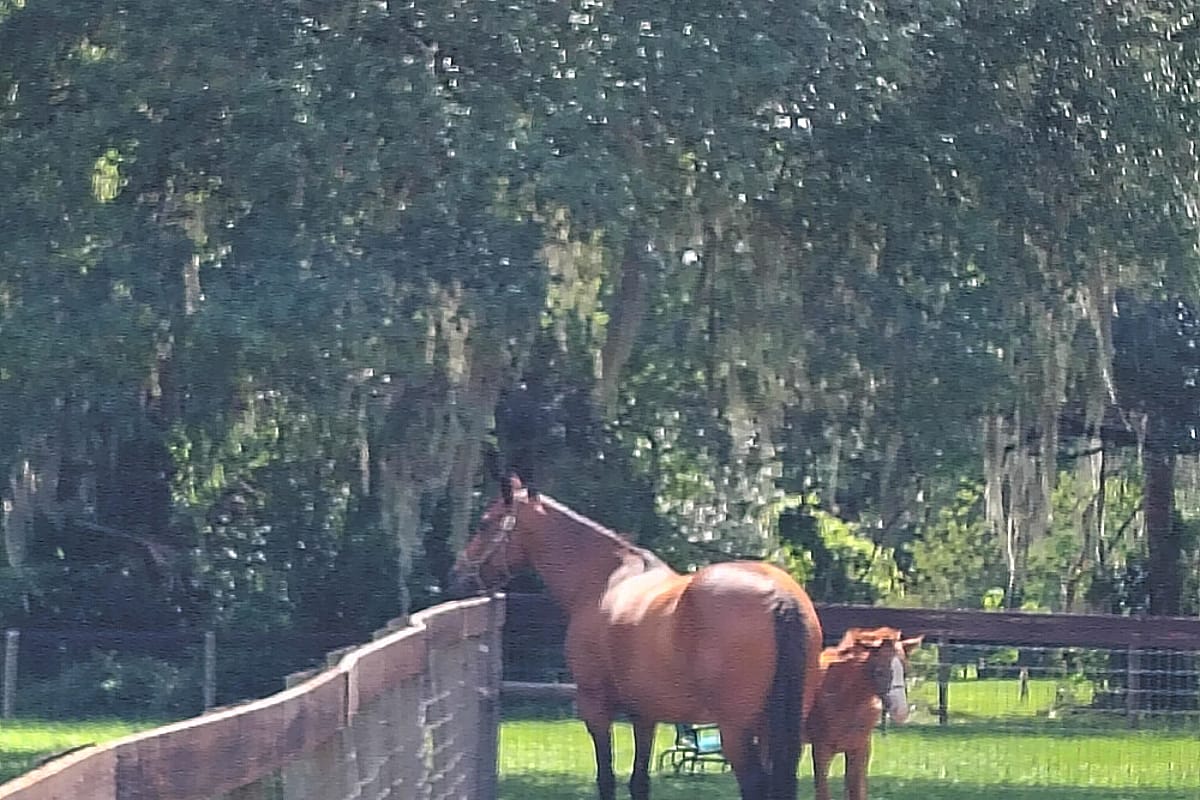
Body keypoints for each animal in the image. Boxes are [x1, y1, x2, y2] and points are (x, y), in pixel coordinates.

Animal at [449, 474, 823, 800]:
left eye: (485, 522)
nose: (459, 575)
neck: (603, 580)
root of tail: (779, 597)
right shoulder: (645, 714)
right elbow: (639, 781)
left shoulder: (595, 708)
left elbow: (606, 778)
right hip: (775, 729)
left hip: (736, 730)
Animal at [808, 627, 923, 800]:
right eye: (879, 671)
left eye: (905, 670)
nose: (901, 712)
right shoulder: (821, 750)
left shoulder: (860, 749)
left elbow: (857, 792)